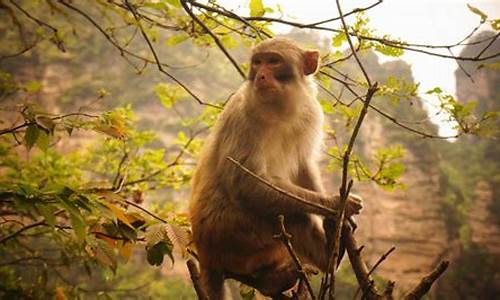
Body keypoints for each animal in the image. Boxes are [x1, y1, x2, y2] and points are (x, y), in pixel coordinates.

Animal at [189, 38, 362, 298]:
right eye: (257, 62)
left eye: (273, 61)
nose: (260, 75)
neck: (279, 107)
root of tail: (205, 253)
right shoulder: (243, 116)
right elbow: (246, 184)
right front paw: (335, 205)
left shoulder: (310, 111)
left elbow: (303, 166)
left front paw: (336, 213)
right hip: (228, 233)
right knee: (293, 217)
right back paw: (326, 259)